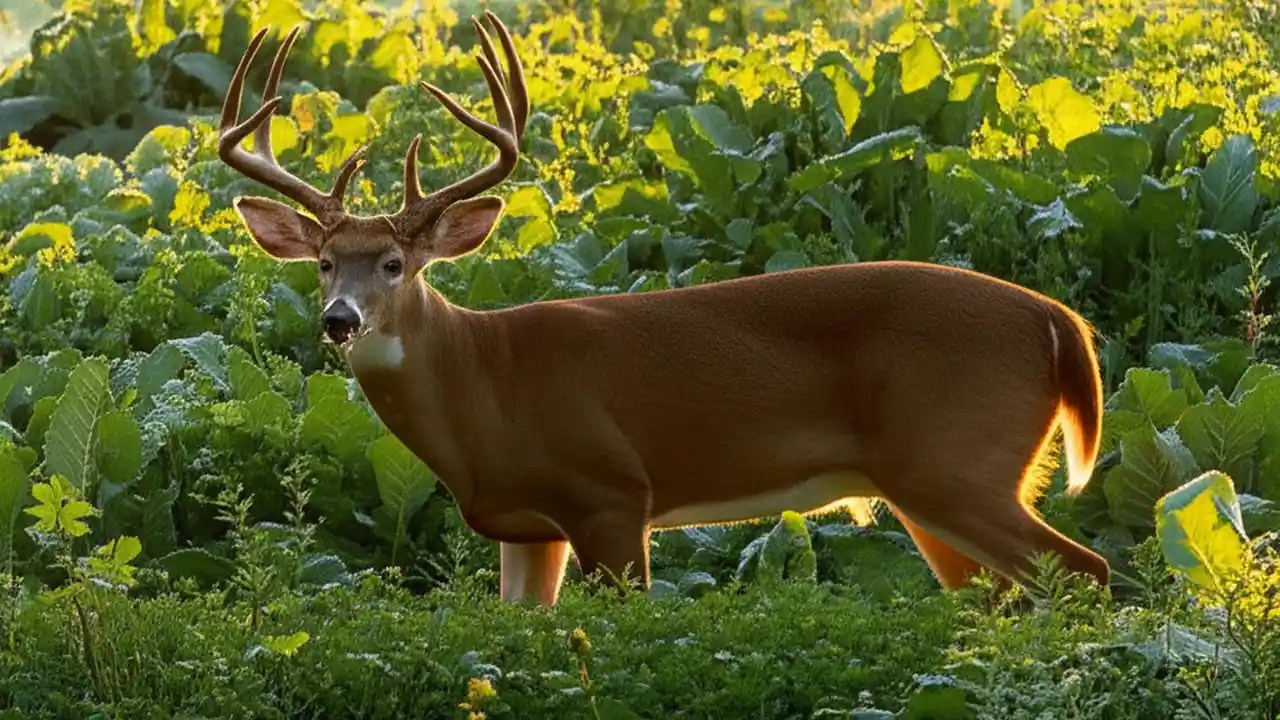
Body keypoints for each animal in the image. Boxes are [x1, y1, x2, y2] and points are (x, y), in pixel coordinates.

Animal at [217, 13, 1111, 606]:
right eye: (325, 263)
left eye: (396, 264)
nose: (340, 319)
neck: (486, 386)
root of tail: (1061, 325)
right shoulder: (529, 527)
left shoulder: (611, 493)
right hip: (934, 485)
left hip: (955, 461)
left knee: (1086, 569)